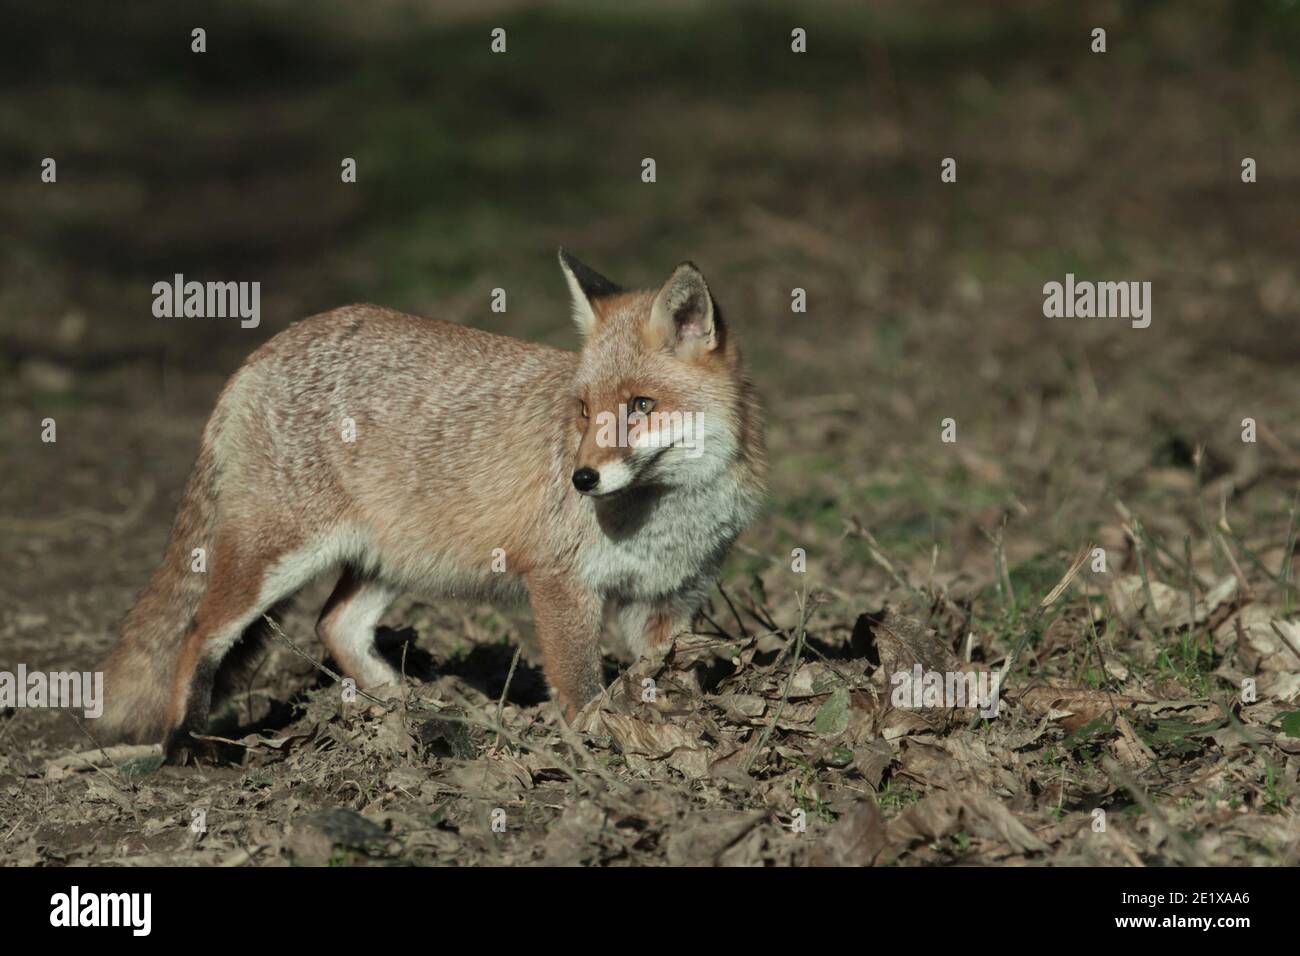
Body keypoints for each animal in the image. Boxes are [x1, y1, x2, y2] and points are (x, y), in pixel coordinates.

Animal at [98, 251, 767, 760]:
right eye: (583, 410)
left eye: (641, 405)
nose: (582, 478)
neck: (670, 515)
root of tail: (267, 349)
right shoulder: (561, 582)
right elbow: (581, 688)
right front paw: (603, 743)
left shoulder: (667, 602)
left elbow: (665, 677)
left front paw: (685, 727)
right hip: (275, 557)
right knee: (198, 633)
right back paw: (185, 743)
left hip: (391, 559)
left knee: (332, 624)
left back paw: (404, 704)